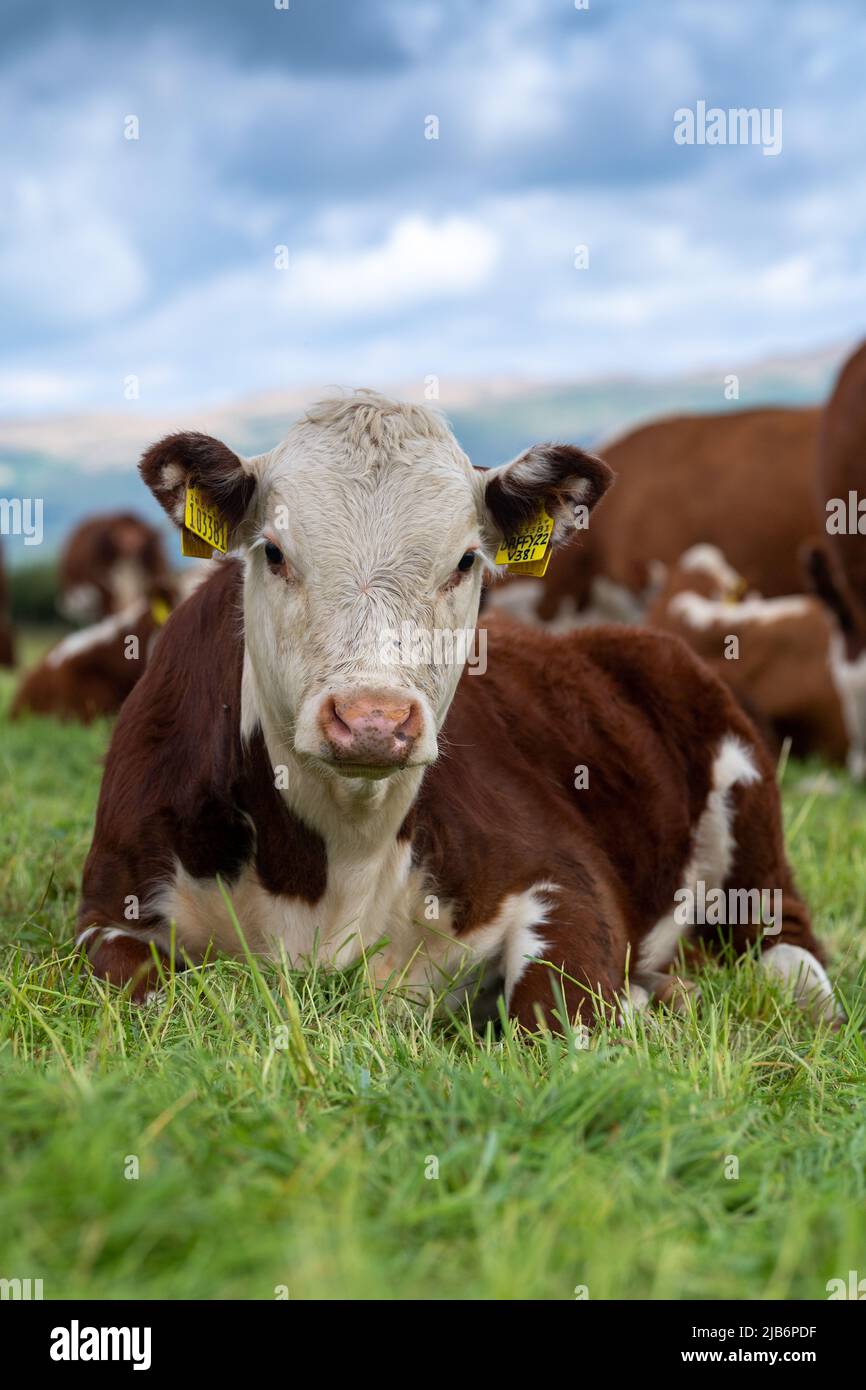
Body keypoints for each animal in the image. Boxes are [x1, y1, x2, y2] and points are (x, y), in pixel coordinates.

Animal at [76, 393, 841, 1031]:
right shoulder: (107, 911)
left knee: (789, 944)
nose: (374, 720)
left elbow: (559, 1017)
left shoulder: (563, 874)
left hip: (752, 830)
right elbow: (147, 993)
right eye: (274, 552)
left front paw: (633, 1004)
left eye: (467, 561)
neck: (338, 859)